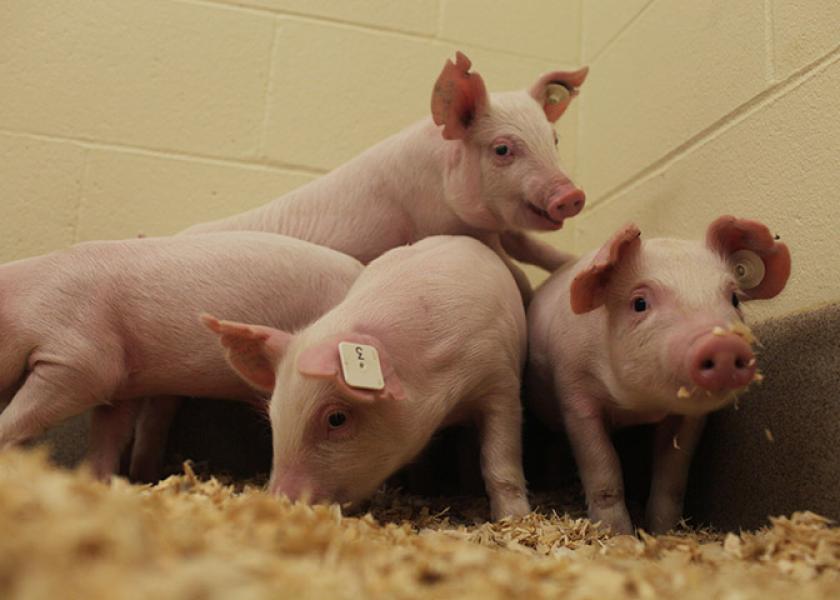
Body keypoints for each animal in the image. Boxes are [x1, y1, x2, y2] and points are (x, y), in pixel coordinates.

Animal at [0, 233, 362, 479]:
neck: (23, 310)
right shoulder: (123, 382)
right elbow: (109, 432)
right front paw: (97, 481)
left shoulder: (82, 354)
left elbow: (58, 394)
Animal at [203, 235, 530, 520]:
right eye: (274, 416)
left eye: (337, 419)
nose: (280, 501)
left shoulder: (500, 382)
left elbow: (500, 462)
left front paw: (512, 518)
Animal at [525, 216, 791, 534]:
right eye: (639, 303)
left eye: (734, 298)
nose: (723, 343)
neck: (638, 408)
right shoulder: (574, 394)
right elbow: (604, 470)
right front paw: (620, 535)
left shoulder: (690, 418)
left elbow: (672, 474)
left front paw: (664, 532)